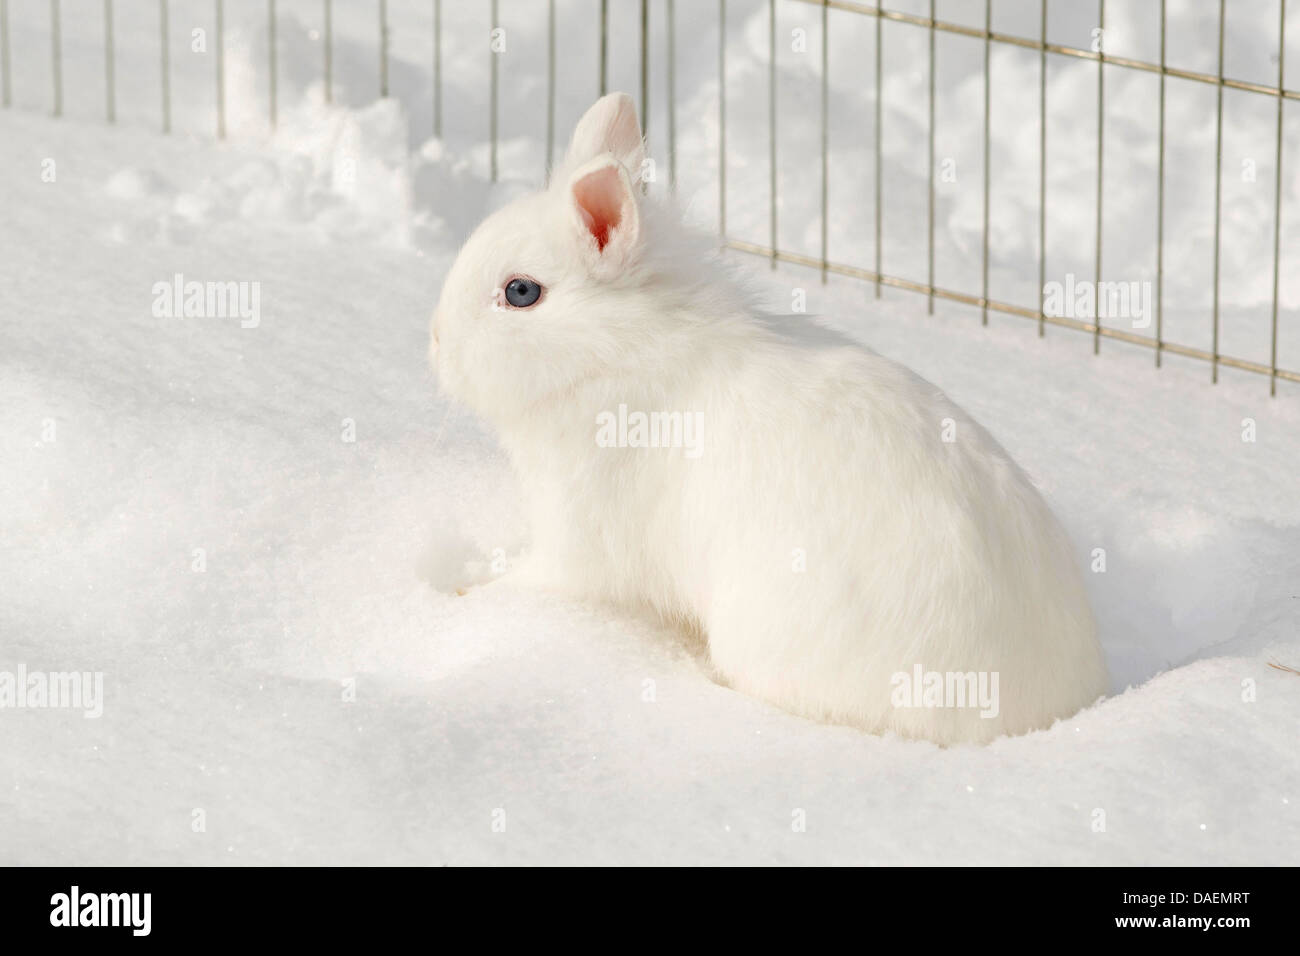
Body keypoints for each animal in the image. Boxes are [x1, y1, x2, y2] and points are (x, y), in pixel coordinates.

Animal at [430, 92, 1109, 745]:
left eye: (521, 292)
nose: (435, 344)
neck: (619, 351)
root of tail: (1033, 717)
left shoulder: (580, 534)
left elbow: (543, 576)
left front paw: (460, 595)